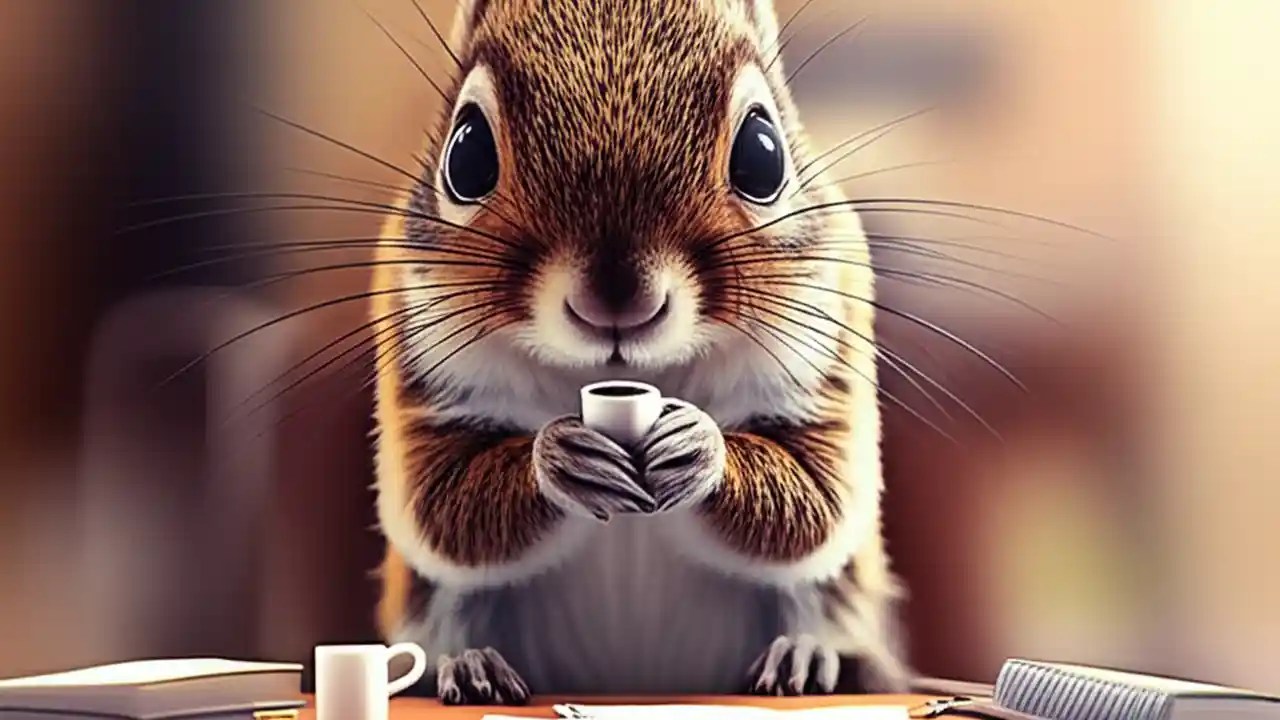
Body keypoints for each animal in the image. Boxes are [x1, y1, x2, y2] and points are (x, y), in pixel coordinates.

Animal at [370, 0, 910, 705]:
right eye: (466, 155)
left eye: (764, 155)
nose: (617, 302)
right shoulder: (424, 367)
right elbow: (441, 503)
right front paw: (560, 458)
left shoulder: (826, 349)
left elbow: (816, 498)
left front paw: (699, 449)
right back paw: (468, 664)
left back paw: (806, 655)